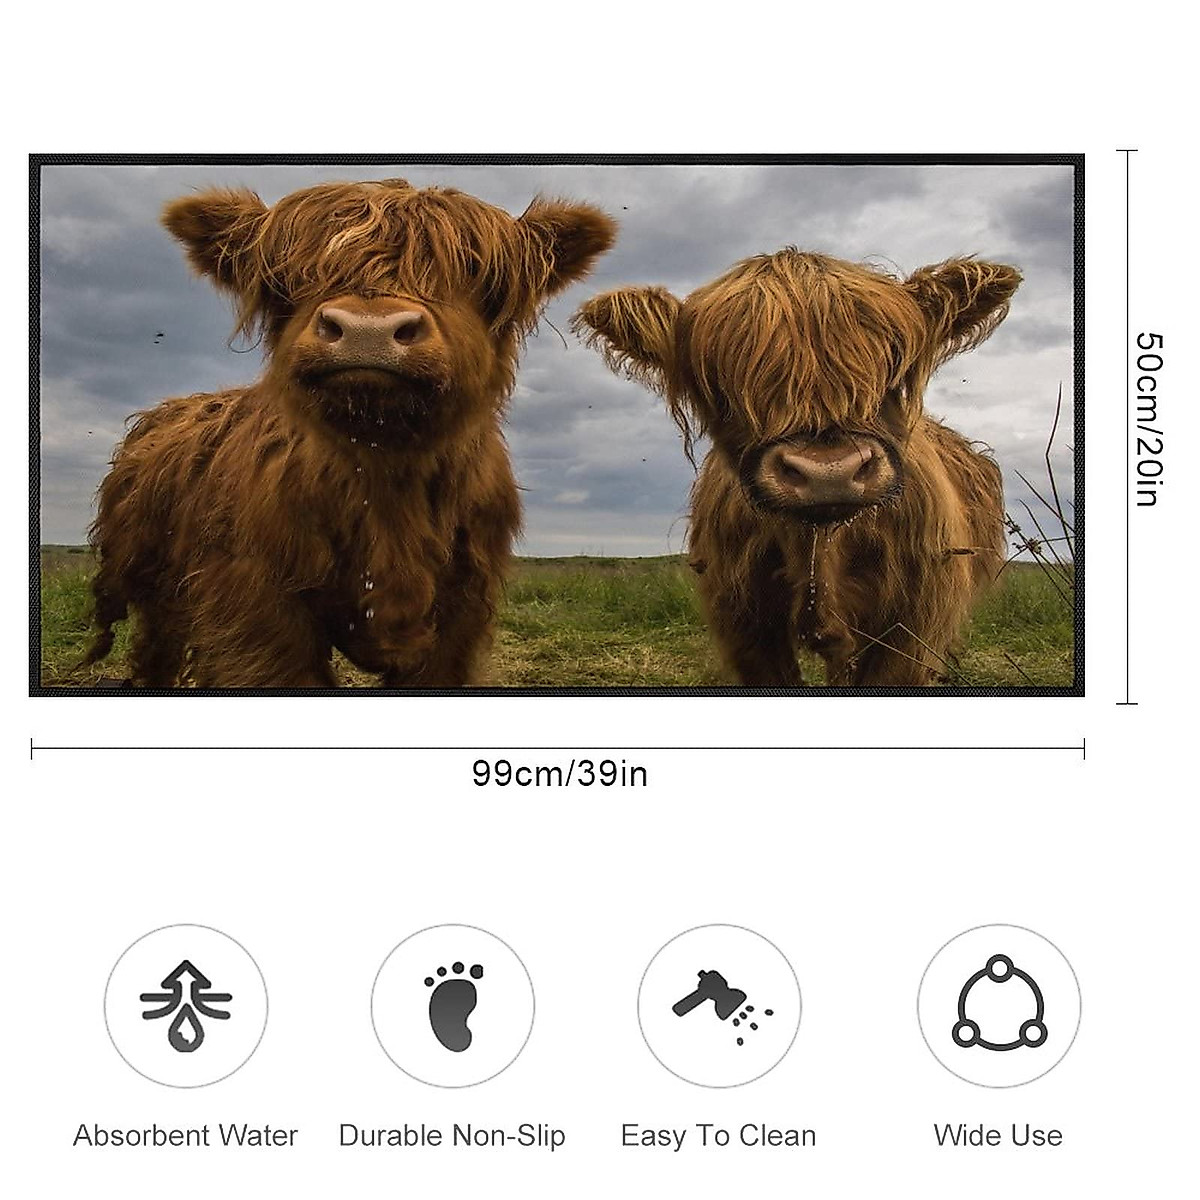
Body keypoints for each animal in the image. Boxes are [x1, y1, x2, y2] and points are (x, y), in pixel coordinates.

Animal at [84, 179, 616, 687]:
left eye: (472, 268)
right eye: (291, 273)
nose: (368, 330)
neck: (385, 475)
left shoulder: (461, 617)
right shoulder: (255, 609)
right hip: (154, 587)